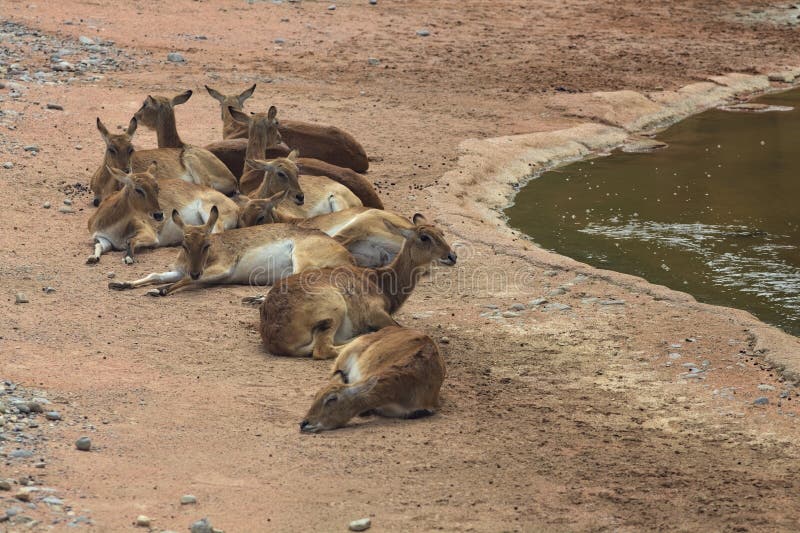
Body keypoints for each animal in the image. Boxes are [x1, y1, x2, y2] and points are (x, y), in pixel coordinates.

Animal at [87, 166, 241, 264]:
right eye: (138, 189)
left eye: (157, 188)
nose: (159, 215)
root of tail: (236, 207)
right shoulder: (102, 238)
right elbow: (99, 246)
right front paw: (92, 258)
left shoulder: (150, 235)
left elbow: (130, 240)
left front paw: (128, 258)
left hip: (209, 212)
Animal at [108, 209, 354, 296]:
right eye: (184, 245)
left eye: (207, 244)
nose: (196, 271)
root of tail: (348, 257)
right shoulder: (180, 270)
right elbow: (155, 275)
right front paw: (120, 283)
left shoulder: (220, 270)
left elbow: (184, 281)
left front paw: (159, 291)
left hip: (301, 261)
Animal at [256, 214, 457, 359]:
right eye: (424, 237)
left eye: (441, 232)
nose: (452, 256)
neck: (381, 281)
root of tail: (274, 334)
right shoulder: (376, 312)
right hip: (334, 309)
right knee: (323, 350)